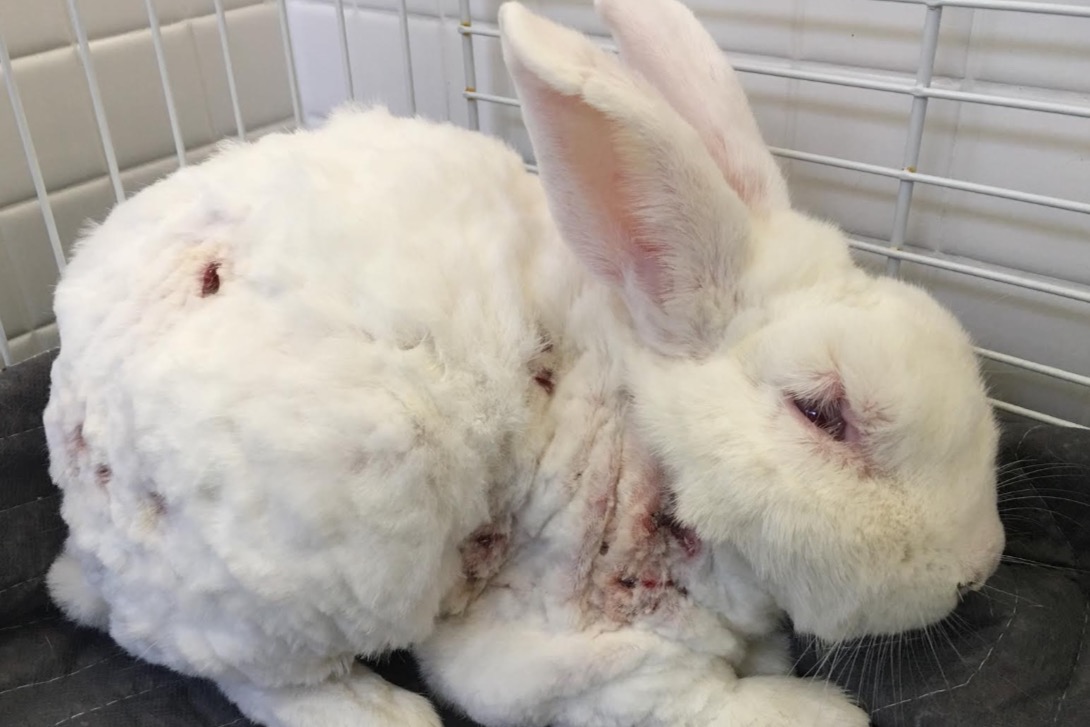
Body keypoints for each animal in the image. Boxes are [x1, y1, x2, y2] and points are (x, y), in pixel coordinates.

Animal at [42, 0, 1005, 726]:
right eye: (822, 414)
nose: (982, 565)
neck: (644, 440)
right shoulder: (570, 652)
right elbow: (694, 698)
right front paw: (819, 709)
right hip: (309, 573)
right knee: (245, 672)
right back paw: (380, 712)